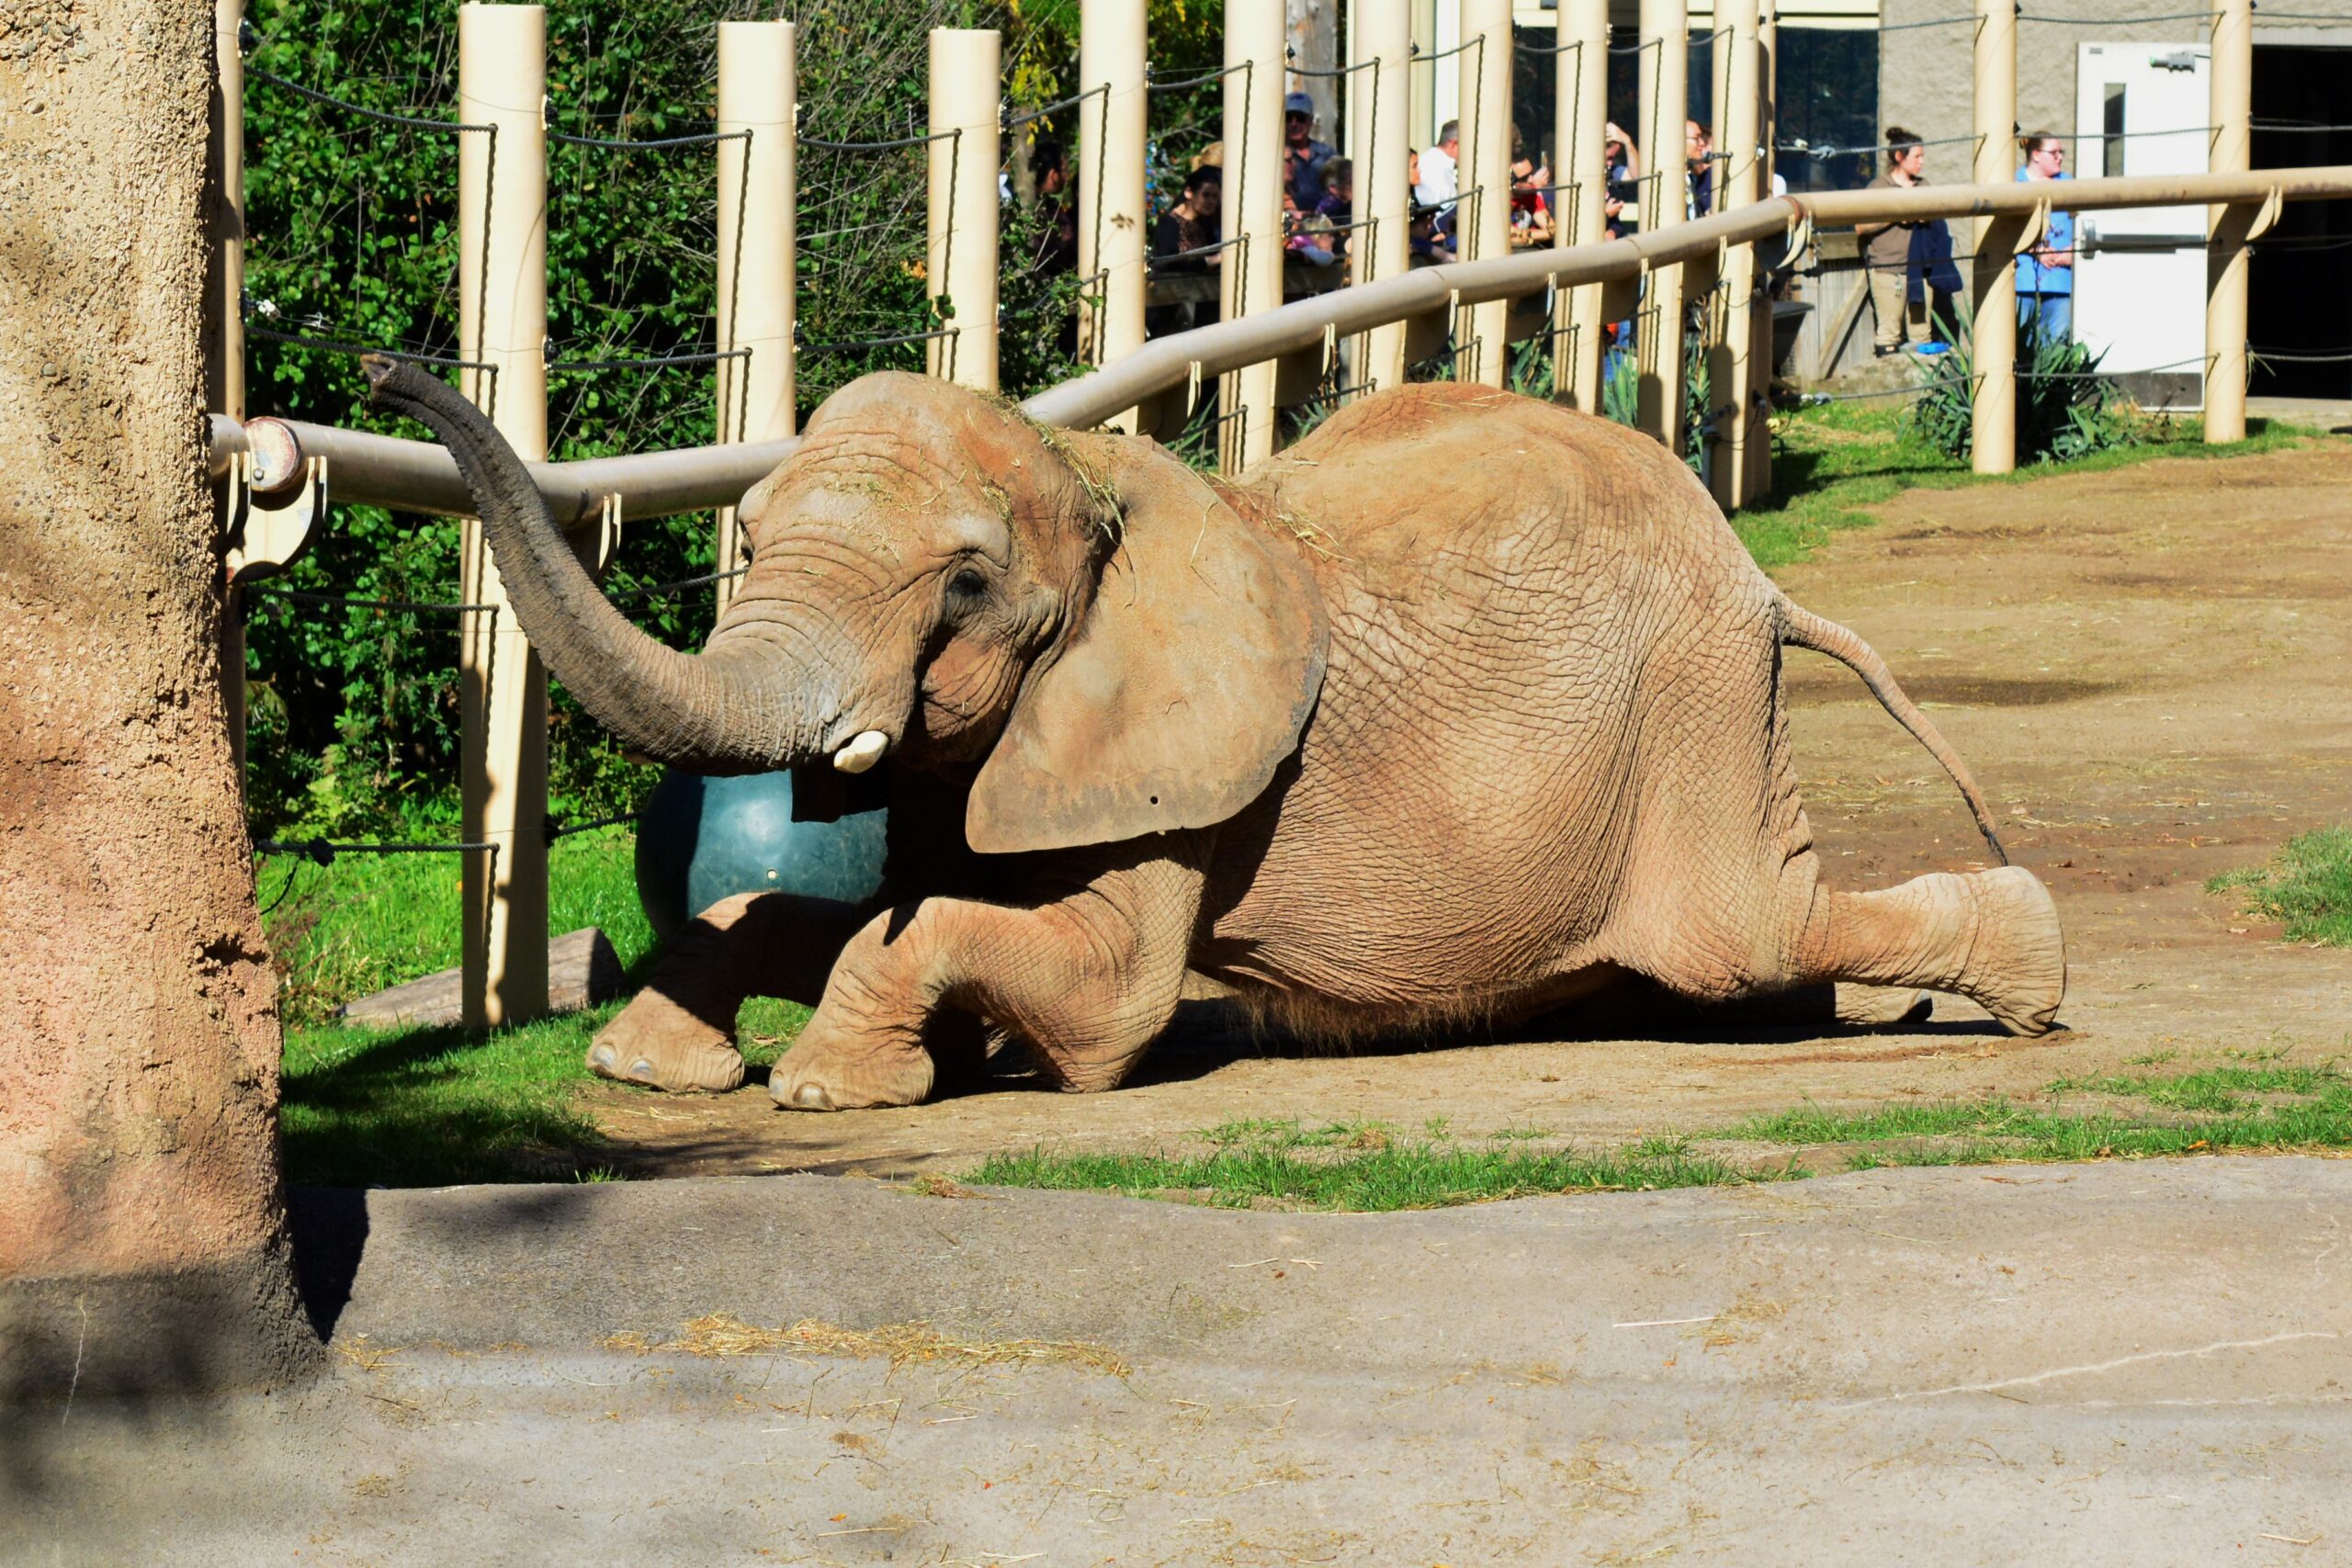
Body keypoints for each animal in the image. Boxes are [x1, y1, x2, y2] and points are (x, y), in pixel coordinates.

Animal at [366, 359, 2065, 1110]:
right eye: (750, 535)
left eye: (967, 584)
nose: (385, 370)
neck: (1091, 470)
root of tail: (1758, 575)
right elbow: (840, 905)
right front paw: (649, 1066)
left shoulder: (1176, 768)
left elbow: (1094, 995)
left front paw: (833, 1090)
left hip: (1692, 701)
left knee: (1739, 933)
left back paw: (2036, 979)